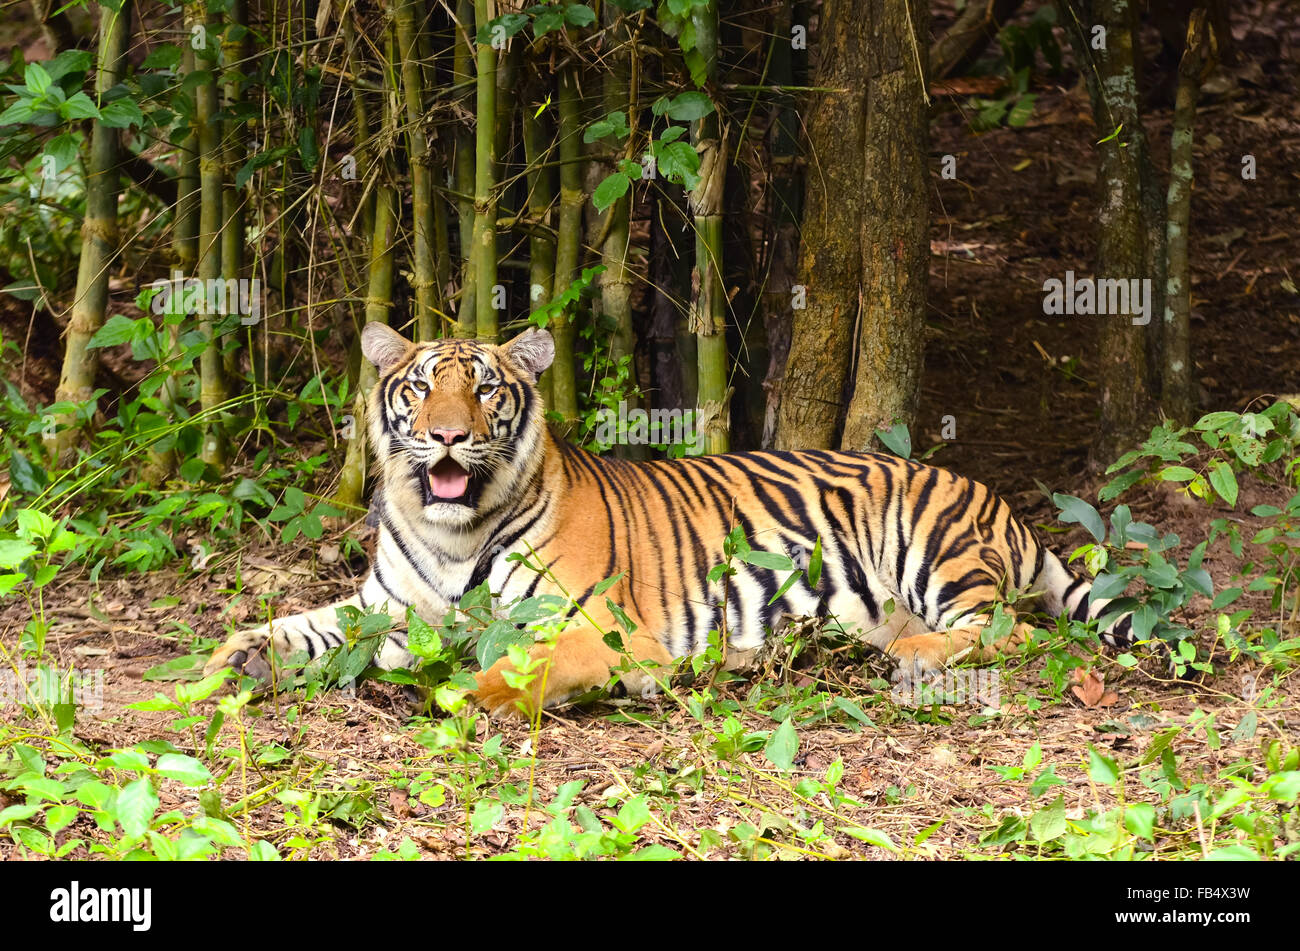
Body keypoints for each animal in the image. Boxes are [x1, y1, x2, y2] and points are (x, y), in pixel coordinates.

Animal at [204, 322, 1136, 716]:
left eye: (486, 387)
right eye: (422, 385)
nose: (446, 435)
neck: (450, 529)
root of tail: (999, 501)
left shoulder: (599, 627)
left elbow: (525, 664)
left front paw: (471, 691)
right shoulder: (387, 607)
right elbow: (302, 626)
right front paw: (228, 656)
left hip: (933, 546)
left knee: (1011, 629)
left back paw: (915, 655)